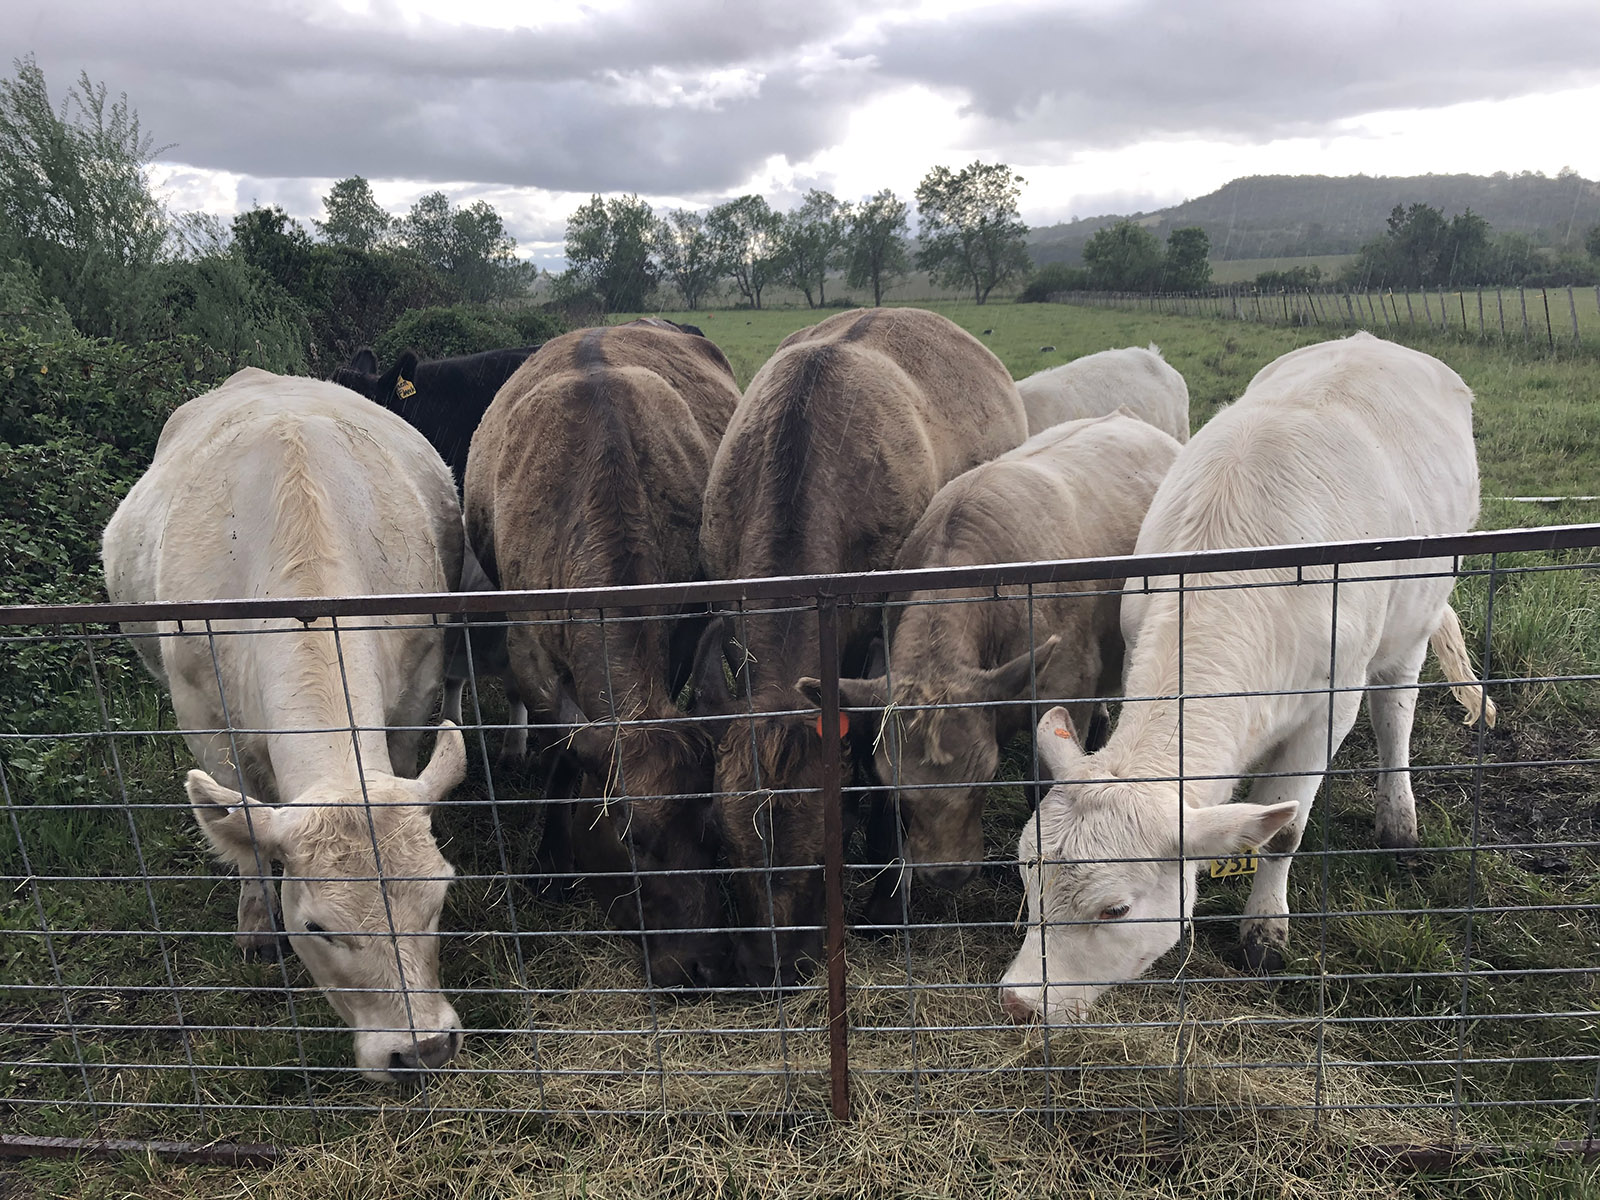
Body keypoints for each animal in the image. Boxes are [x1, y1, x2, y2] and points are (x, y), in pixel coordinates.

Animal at [101, 368, 469, 1082]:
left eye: (440, 896)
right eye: (318, 927)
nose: (423, 1050)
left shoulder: (418, 687)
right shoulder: (202, 714)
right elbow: (242, 826)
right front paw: (257, 926)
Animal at [464, 320, 742, 991]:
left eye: (714, 833)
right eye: (632, 839)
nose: (704, 965)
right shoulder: (532, 656)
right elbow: (562, 758)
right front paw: (550, 864)